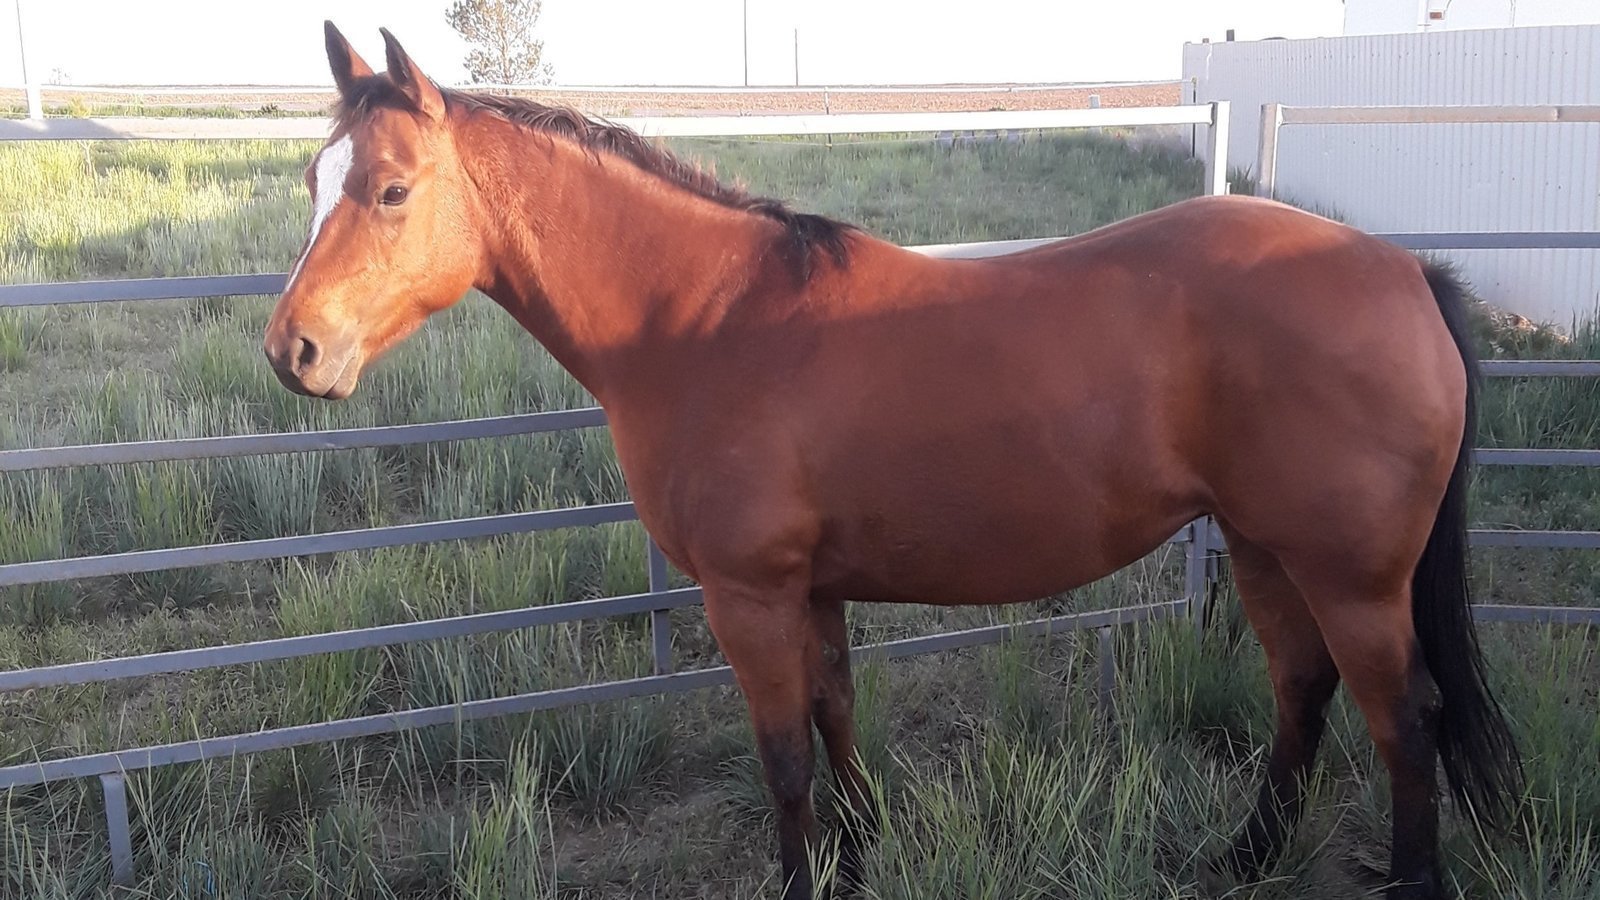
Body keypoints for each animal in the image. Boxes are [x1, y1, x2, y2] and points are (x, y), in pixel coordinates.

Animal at [263, 24, 1522, 900]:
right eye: (315, 181)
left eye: (391, 190)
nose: (294, 351)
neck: (703, 323)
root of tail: (1404, 272)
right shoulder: (811, 588)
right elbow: (835, 717)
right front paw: (859, 857)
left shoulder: (749, 596)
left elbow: (782, 757)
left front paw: (804, 876)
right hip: (1263, 549)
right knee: (1302, 691)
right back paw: (1245, 856)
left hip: (1350, 576)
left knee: (1403, 715)